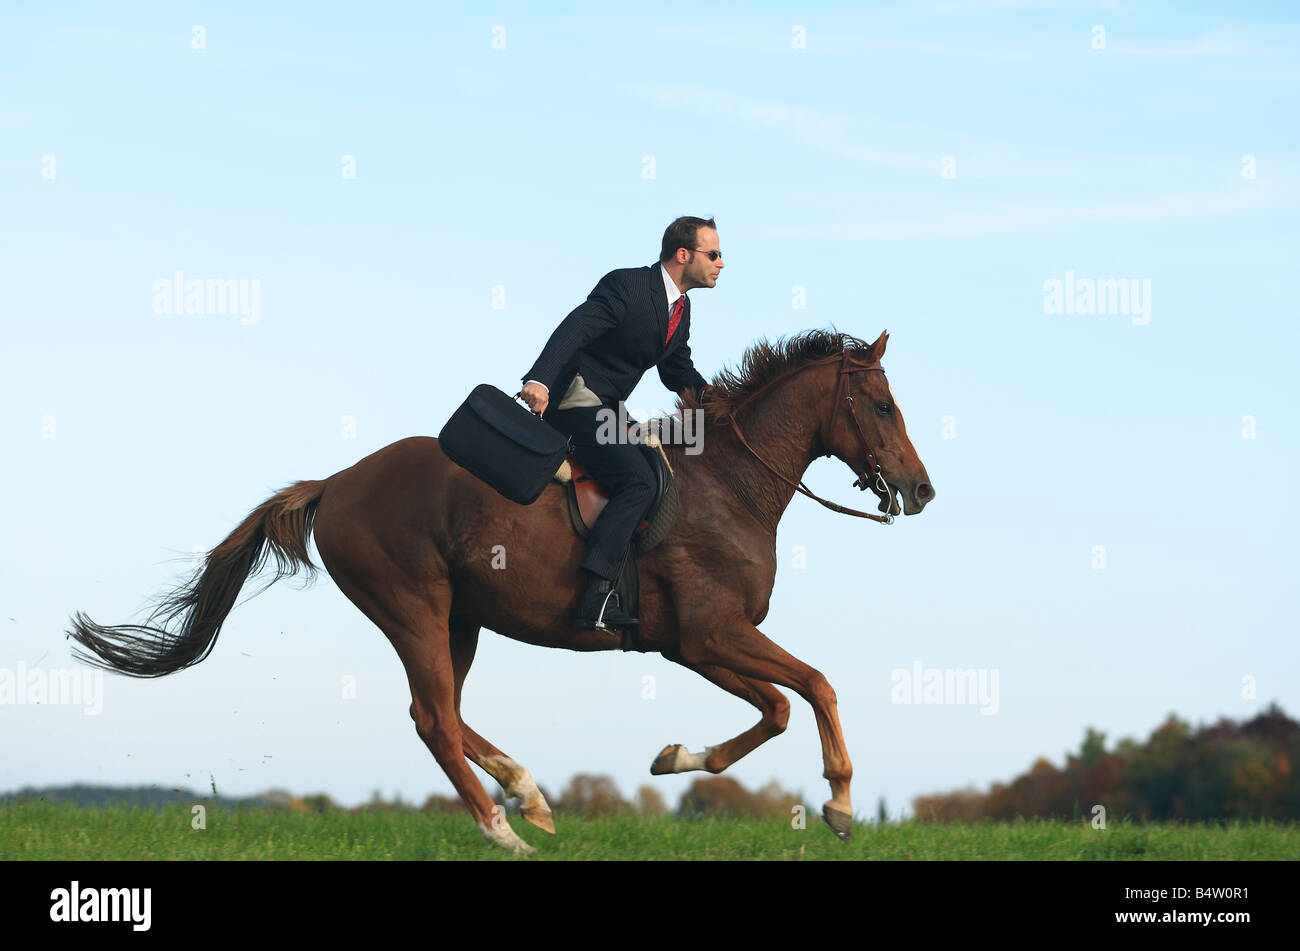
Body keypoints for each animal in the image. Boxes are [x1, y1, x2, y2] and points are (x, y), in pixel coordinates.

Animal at [67, 328, 935, 854]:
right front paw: (841, 803)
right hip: (413, 607)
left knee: (444, 712)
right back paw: (502, 828)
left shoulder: (696, 644)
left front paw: (676, 756)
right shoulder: (711, 634)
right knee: (432, 718)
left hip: (462, 620)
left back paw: (527, 795)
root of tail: (338, 482)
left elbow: (780, 706)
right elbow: (815, 686)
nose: (922, 490)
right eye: (883, 403)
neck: (731, 484)